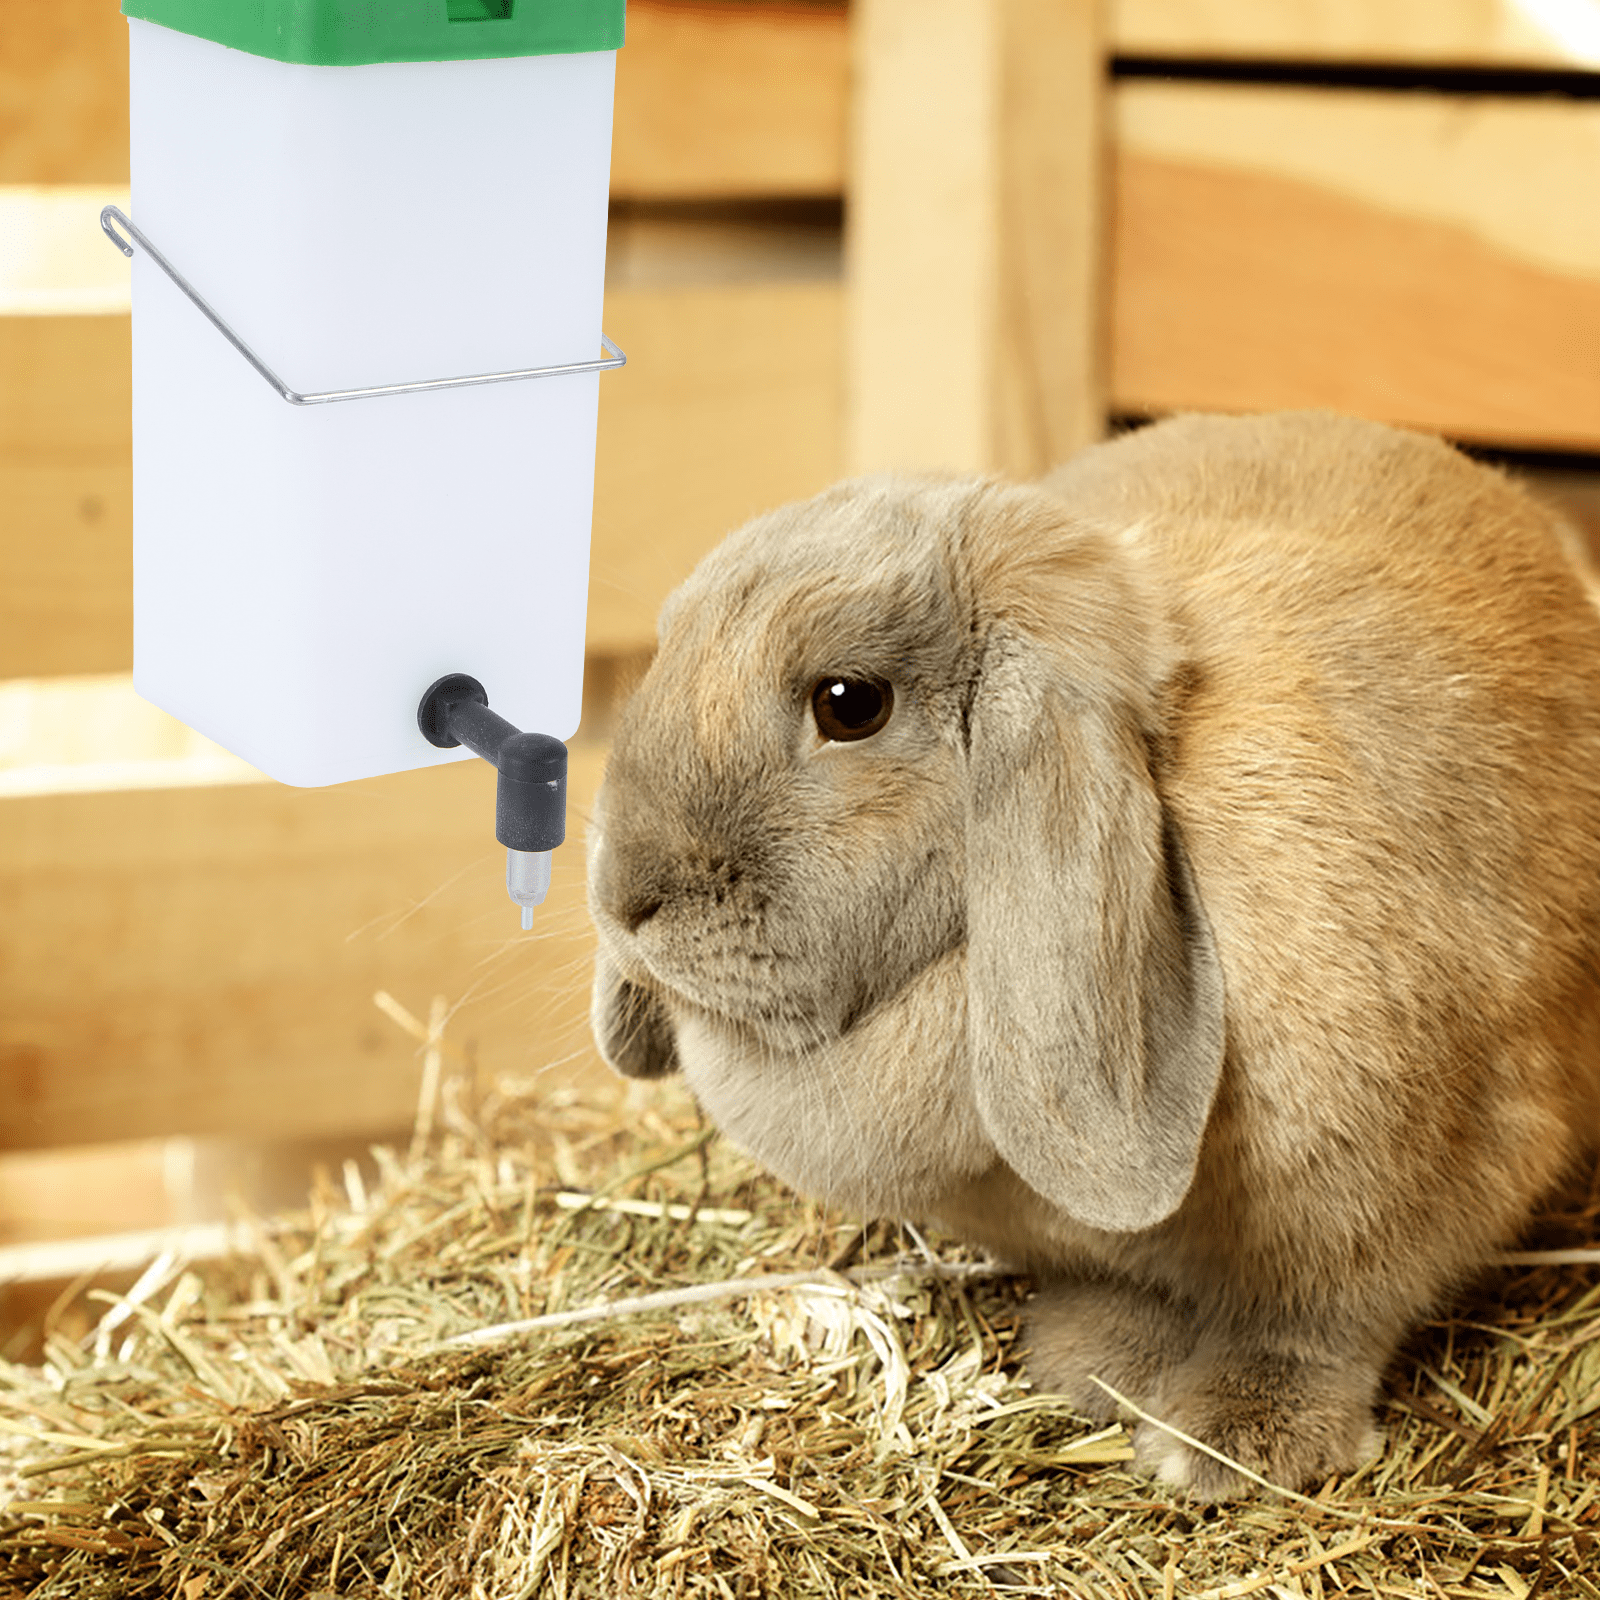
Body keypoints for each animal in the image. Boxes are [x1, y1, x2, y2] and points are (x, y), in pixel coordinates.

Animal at [586, 410, 1600, 1499]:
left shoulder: (1402, 1187)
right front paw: (1092, 1366)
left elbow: (1313, 1322)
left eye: (849, 701)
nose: (625, 901)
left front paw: (1229, 1443)